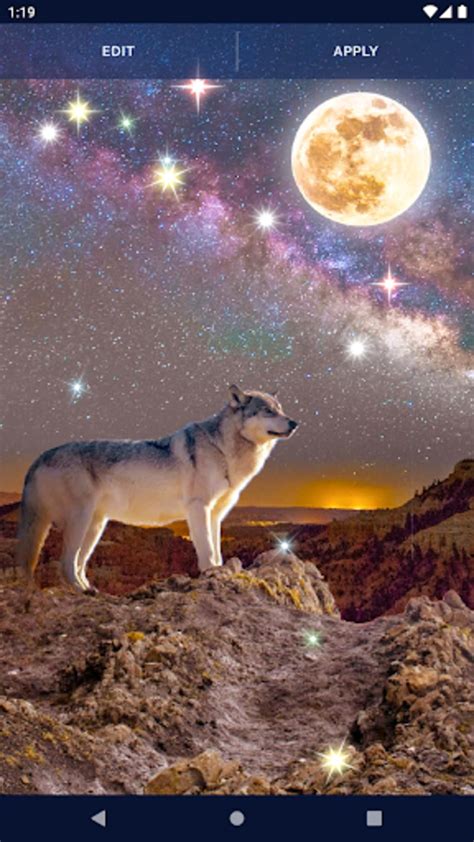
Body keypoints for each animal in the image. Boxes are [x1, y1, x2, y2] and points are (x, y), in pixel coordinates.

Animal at [17, 385, 298, 601]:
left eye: (281, 409)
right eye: (268, 411)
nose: (295, 422)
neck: (222, 448)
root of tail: (39, 458)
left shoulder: (215, 514)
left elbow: (217, 551)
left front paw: (219, 572)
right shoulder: (198, 508)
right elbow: (207, 551)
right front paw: (210, 575)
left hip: (95, 527)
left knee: (77, 564)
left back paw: (92, 591)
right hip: (80, 521)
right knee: (66, 564)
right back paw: (82, 593)